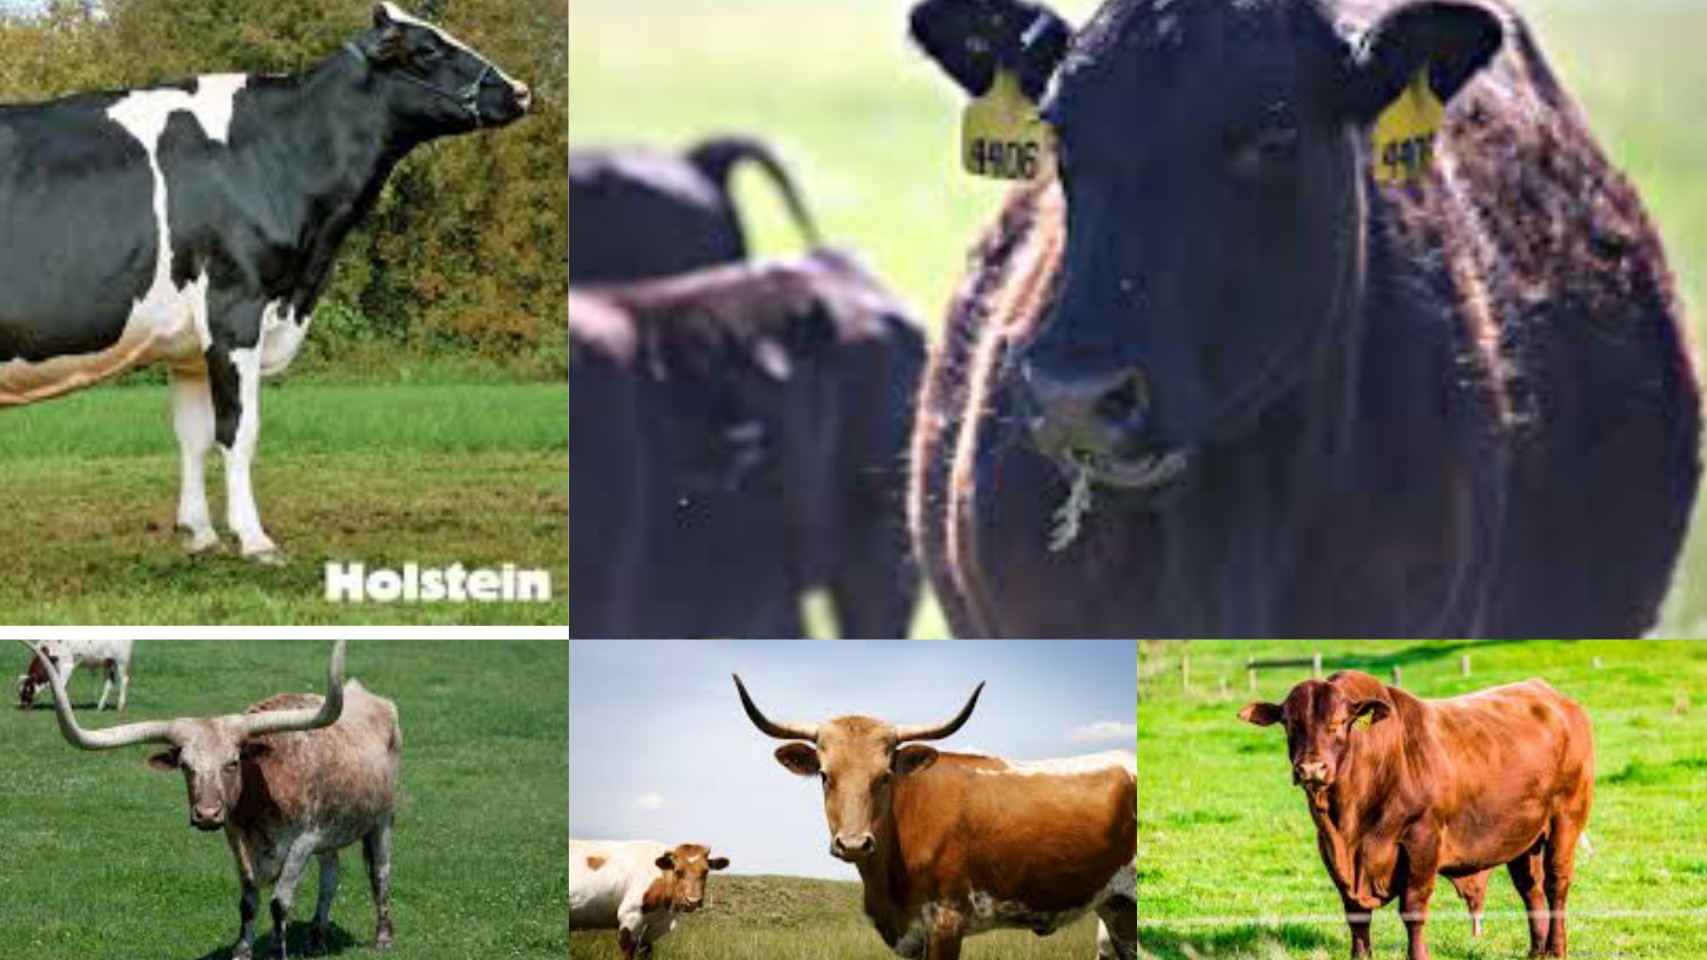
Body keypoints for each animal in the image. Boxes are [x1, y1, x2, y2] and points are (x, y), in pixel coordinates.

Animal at [0, 3, 532, 563]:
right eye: (427, 50)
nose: (520, 91)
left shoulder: (188, 341)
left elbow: (193, 434)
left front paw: (199, 534)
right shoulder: (235, 305)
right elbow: (239, 430)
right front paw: (254, 539)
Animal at [24, 640, 402, 960]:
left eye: (233, 762)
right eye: (185, 766)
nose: (206, 814)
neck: (261, 797)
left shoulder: (302, 843)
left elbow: (279, 902)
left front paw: (277, 952)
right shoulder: (237, 838)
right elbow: (248, 901)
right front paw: (242, 950)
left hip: (383, 819)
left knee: (380, 873)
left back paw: (383, 936)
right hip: (331, 834)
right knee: (330, 877)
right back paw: (316, 938)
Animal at [1238, 670, 1594, 959]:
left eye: (1339, 723)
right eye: (1289, 724)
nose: (1312, 768)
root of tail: (1551, 695)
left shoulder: (1422, 841)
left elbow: (1413, 909)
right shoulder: (1330, 850)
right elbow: (1356, 915)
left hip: (1567, 818)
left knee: (1556, 884)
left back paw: (1557, 948)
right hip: (1522, 836)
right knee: (1530, 888)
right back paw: (1537, 950)